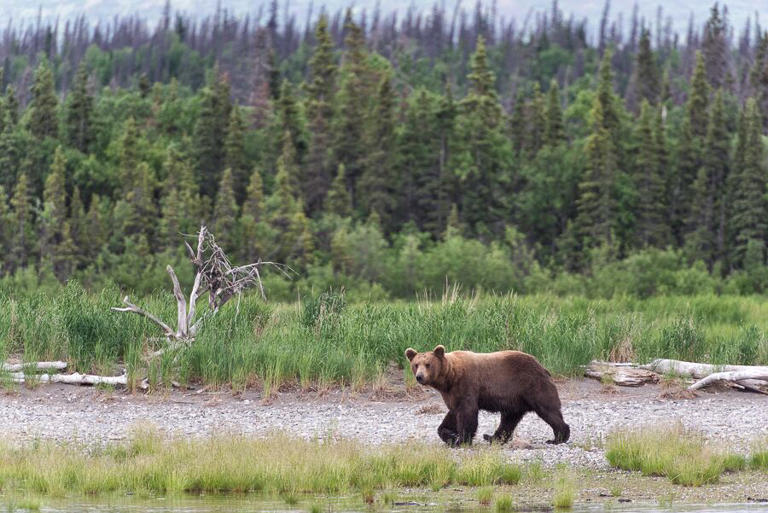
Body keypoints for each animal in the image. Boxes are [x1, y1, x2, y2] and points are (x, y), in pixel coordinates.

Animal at [405, 345, 570, 447]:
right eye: (416, 364)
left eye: (428, 364)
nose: (420, 377)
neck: (450, 377)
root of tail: (542, 366)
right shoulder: (451, 394)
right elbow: (451, 415)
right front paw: (451, 436)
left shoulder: (467, 385)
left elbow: (467, 413)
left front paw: (461, 440)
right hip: (514, 397)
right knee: (509, 419)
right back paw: (492, 437)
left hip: (531, 385)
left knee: (547, 409)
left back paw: (558, 438)